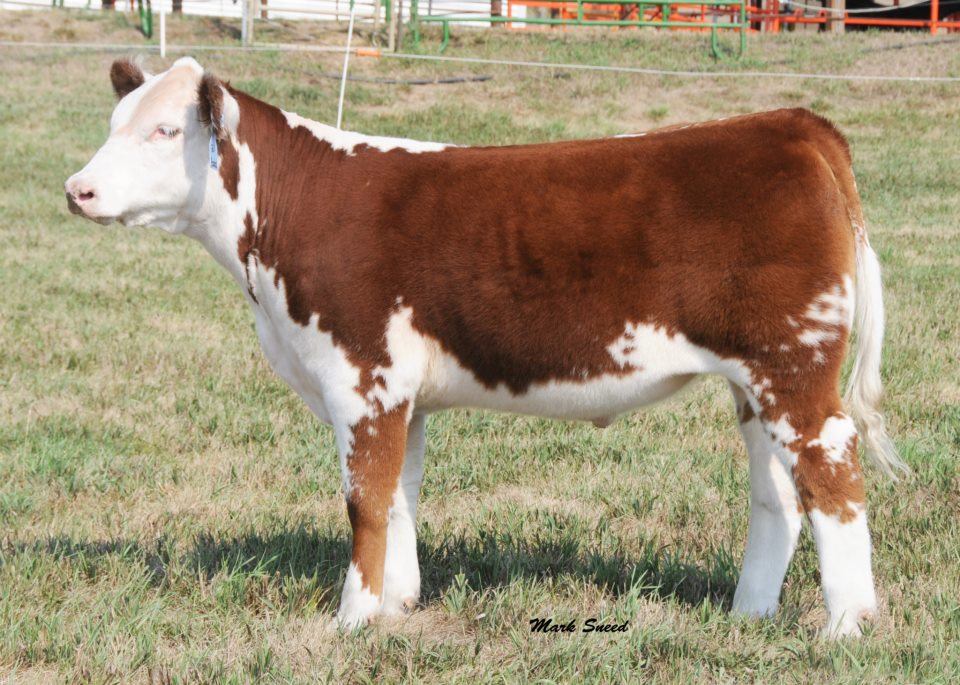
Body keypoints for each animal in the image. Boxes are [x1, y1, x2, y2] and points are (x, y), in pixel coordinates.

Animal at [65, 57, 906, 636]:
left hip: (795, 364)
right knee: (777, 492)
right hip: (752, 377)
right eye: (114, 123)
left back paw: (845, 624)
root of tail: (789, 123)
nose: (78, 188)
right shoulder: (402, 392)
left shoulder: (361, 376)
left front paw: (351, 620)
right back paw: (748, 613)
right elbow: (399, 494)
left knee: (833, 470)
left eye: (165, 131)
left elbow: (364, 499)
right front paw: (398, 605)